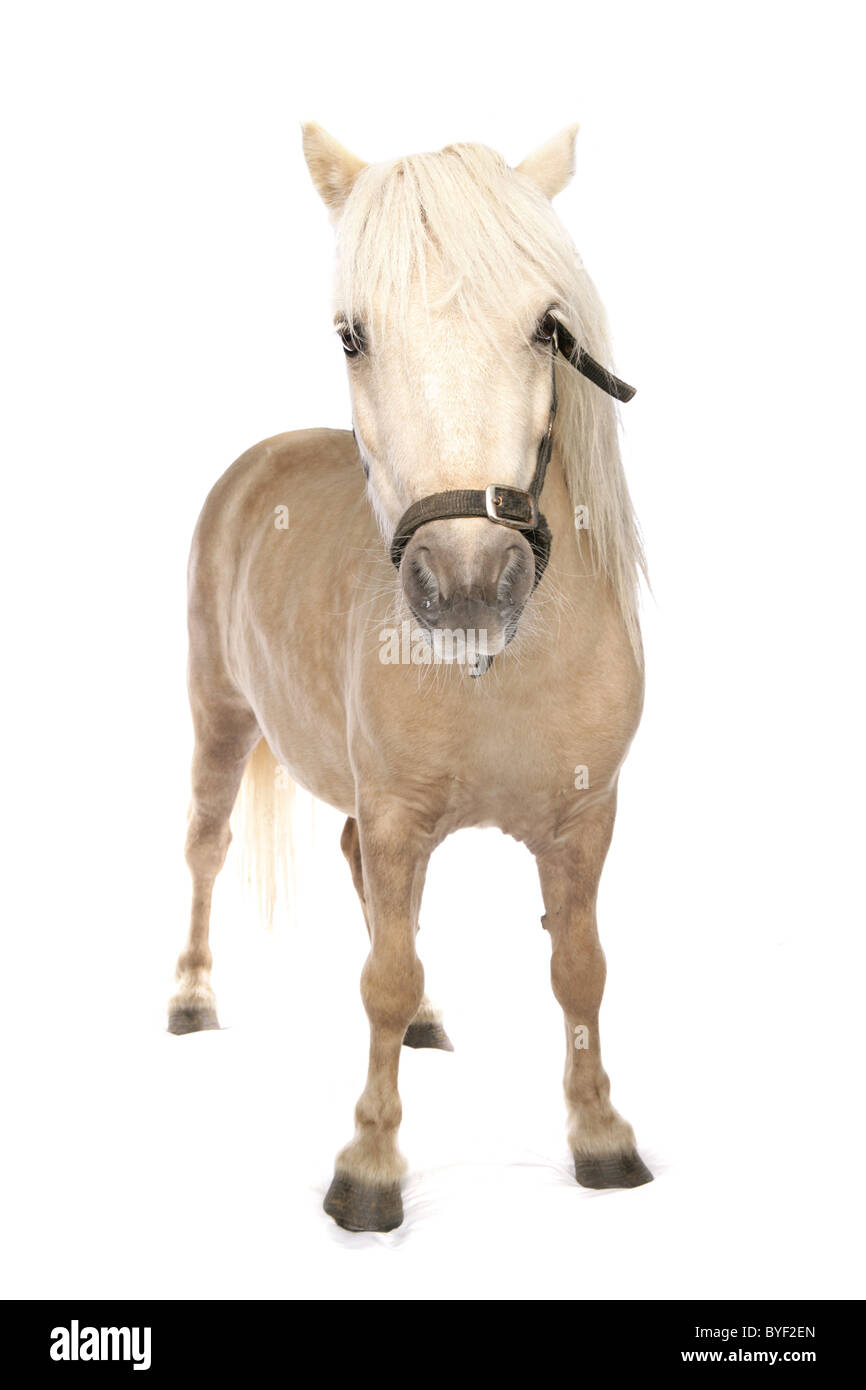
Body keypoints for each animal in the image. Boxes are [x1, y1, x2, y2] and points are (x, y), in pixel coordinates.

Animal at [168, 122, 653, 1232]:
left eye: (547, 327)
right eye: (352, 334)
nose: (468, 580)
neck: (499, 669)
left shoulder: (584, 818)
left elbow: (579, 969)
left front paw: (601, 1137)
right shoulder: (394, 811)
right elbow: (380, 978)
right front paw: (369, 1169)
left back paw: (431, 1016)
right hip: (219, 717)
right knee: (207, 845)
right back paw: (192, 995)